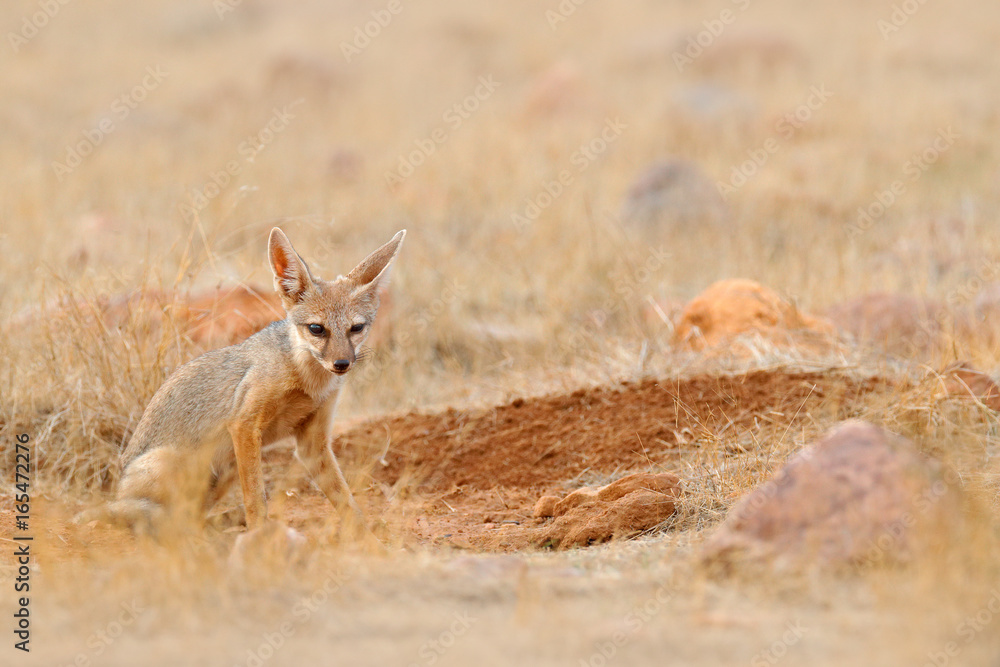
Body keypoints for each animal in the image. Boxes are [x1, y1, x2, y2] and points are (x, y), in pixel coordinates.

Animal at [78, 227, 405, 534]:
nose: (342, 364)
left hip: (224, 471)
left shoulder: (313, 444)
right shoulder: (244, 425)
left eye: (356, 328)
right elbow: (255, 499)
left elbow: (346, 500)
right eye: (317, 329)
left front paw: (368, 541)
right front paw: (259, 537)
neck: (307, 380)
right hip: (182, 464)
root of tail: (118, 490)